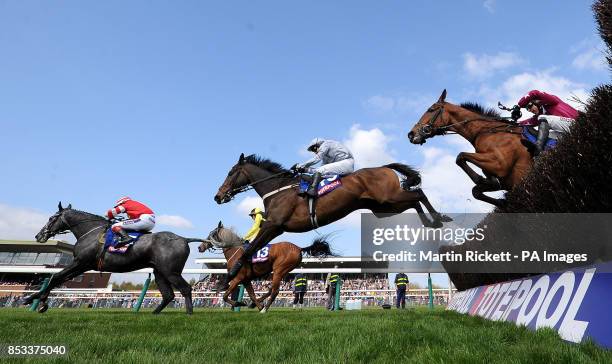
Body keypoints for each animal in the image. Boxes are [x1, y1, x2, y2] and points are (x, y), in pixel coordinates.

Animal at [23, 203, 207, 314]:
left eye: (51, 218)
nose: (39, 235)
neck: (90, 231)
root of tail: (184, 239)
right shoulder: (82, 266)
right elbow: (57, 279)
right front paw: (39, 301)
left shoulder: (80, 263)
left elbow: (55, 277)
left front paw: (32, 300)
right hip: (159, 272)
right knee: (168, 295)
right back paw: (153, 313)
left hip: (171, 272)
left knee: (185, 289)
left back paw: (188, 314)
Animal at [198, 222, 332, 312]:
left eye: (211, 235)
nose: (200, 247)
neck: (235, 251)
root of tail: (299, 248)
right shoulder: (246, 279)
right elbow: (252, 294)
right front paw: (255, 304)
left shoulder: (238, 278)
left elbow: (225, 296)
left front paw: (239, 303)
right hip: (283, 271)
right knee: (271, 289)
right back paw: (259, 305)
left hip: (279, 269)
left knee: (275, 291)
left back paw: (265, 309)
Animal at [214, 153, 450, 278]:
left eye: (230, 173)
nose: (218, 196)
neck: (278, 189)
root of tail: (383, 167)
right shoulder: (275, 228)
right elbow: (251, 248)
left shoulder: (273, 225)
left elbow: (249, 249)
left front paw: (229, 276)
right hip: (384, 207)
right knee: (414, 200)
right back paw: (431, 223)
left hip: (389, 198)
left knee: (418, 194)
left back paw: (438, 219)